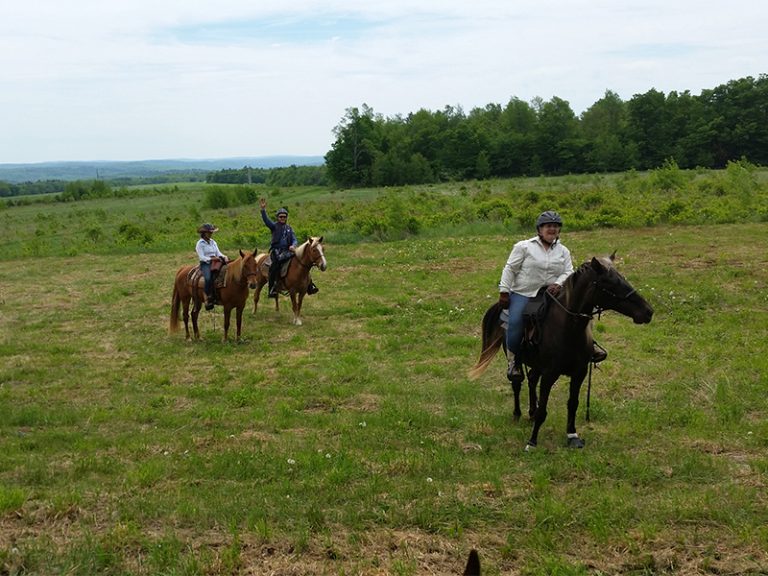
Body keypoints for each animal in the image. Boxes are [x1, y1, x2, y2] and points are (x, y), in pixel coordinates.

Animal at [469, 254, 653, 449]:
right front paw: (532, 442)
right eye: (609, 284)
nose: (648, 312)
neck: (568, 328)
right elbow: (543, 409)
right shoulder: (550, 374)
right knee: (517, 383)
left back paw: (531, 412)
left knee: (532, 379)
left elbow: (573, 404)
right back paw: (517, 414)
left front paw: (572, 436)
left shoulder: (579, 373)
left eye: (622, 278)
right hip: (516, 361)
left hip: (537, 365)